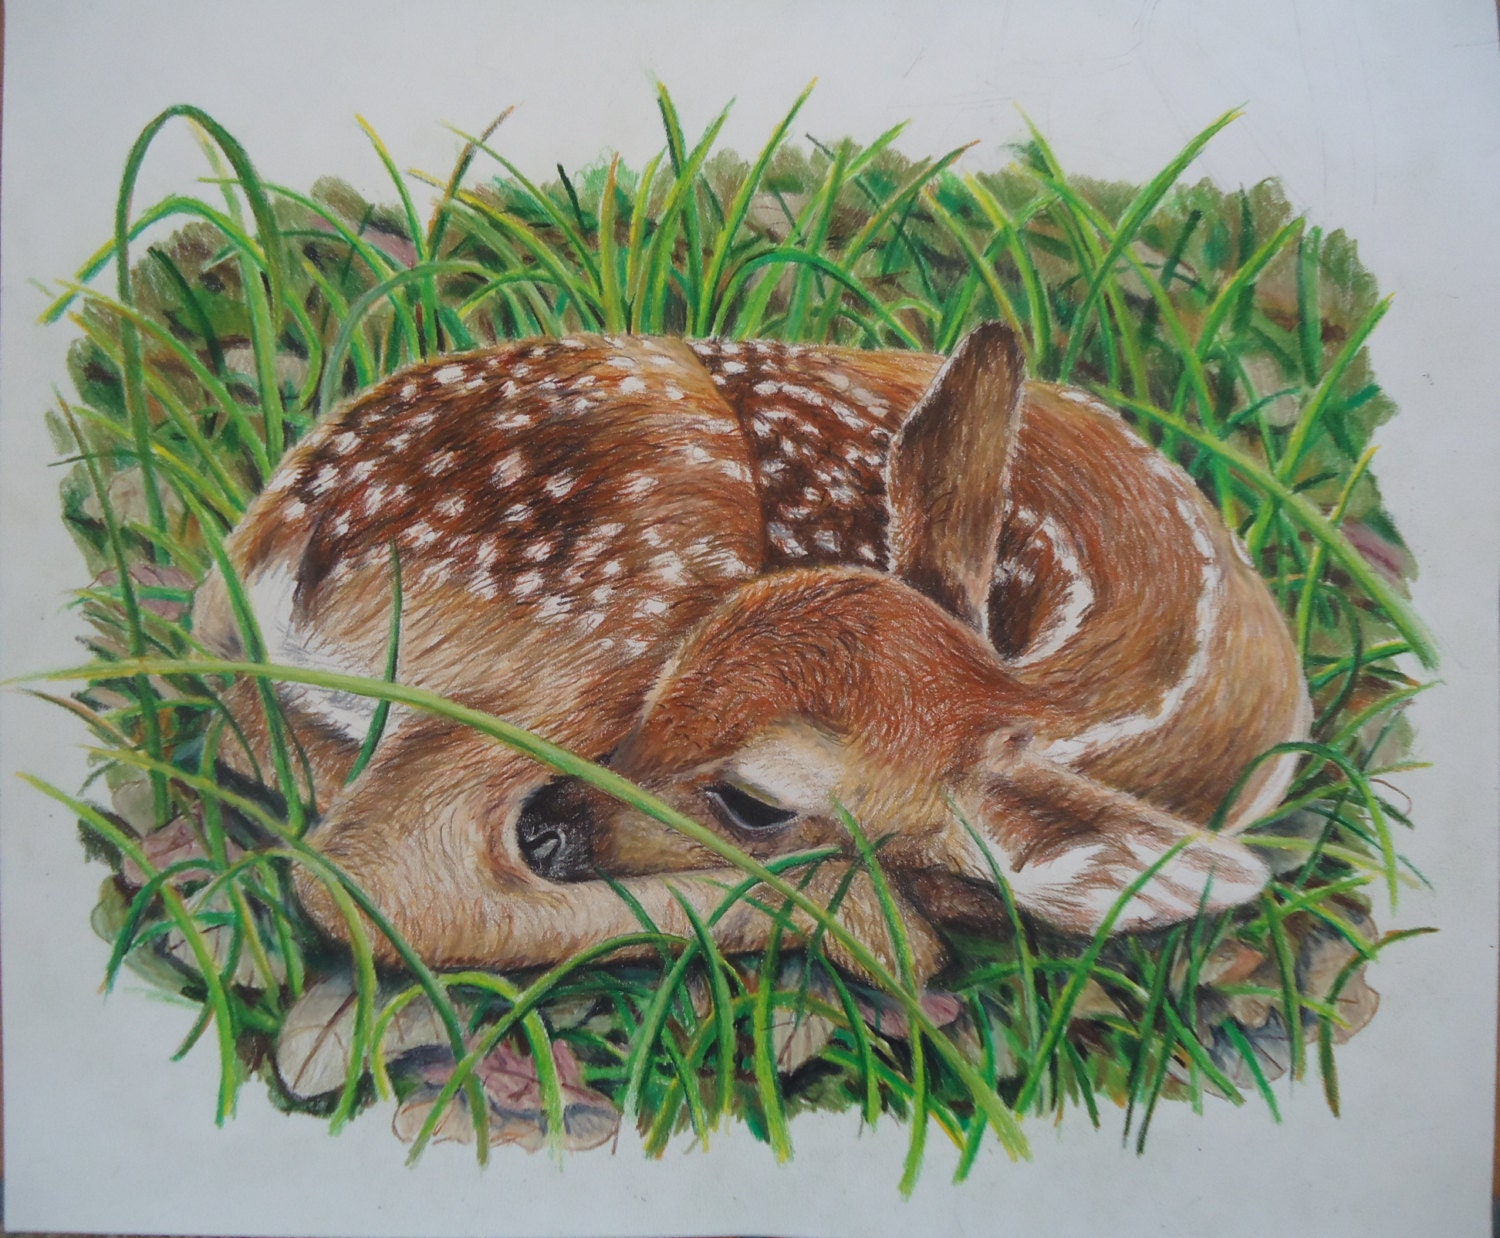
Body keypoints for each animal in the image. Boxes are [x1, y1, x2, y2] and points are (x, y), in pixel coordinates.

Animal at [192, 322, 1310, 986]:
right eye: (678, 678)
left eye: (756, 802)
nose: (550, 830)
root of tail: (275, 545)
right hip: (648, 546)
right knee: (383, 876)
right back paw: (877, 926)